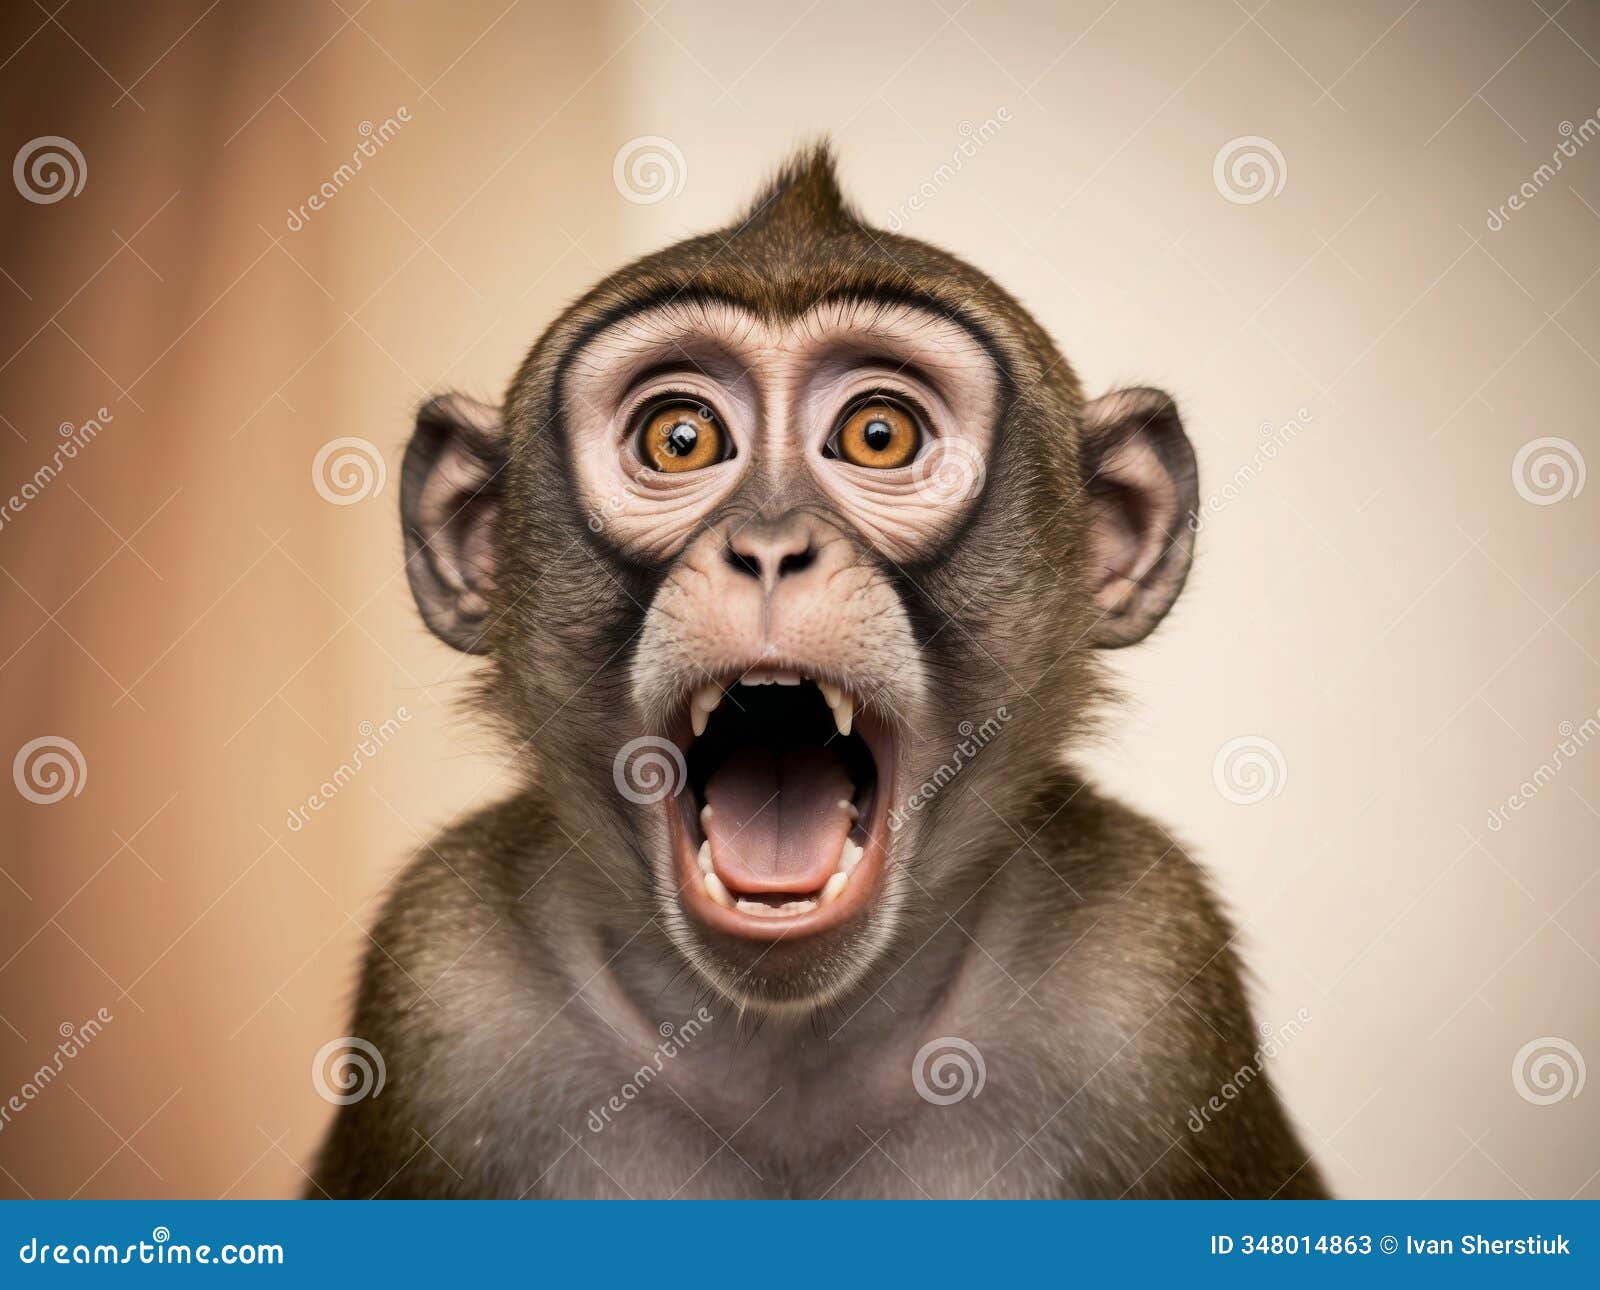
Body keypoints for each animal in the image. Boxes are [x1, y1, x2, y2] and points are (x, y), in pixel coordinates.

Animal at [308, 145, 1325, 1200]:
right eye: (681, 439)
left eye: (880, 435)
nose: (768, 548)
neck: (786, 1039)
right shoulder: (439, 986)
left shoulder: (1151, 977)